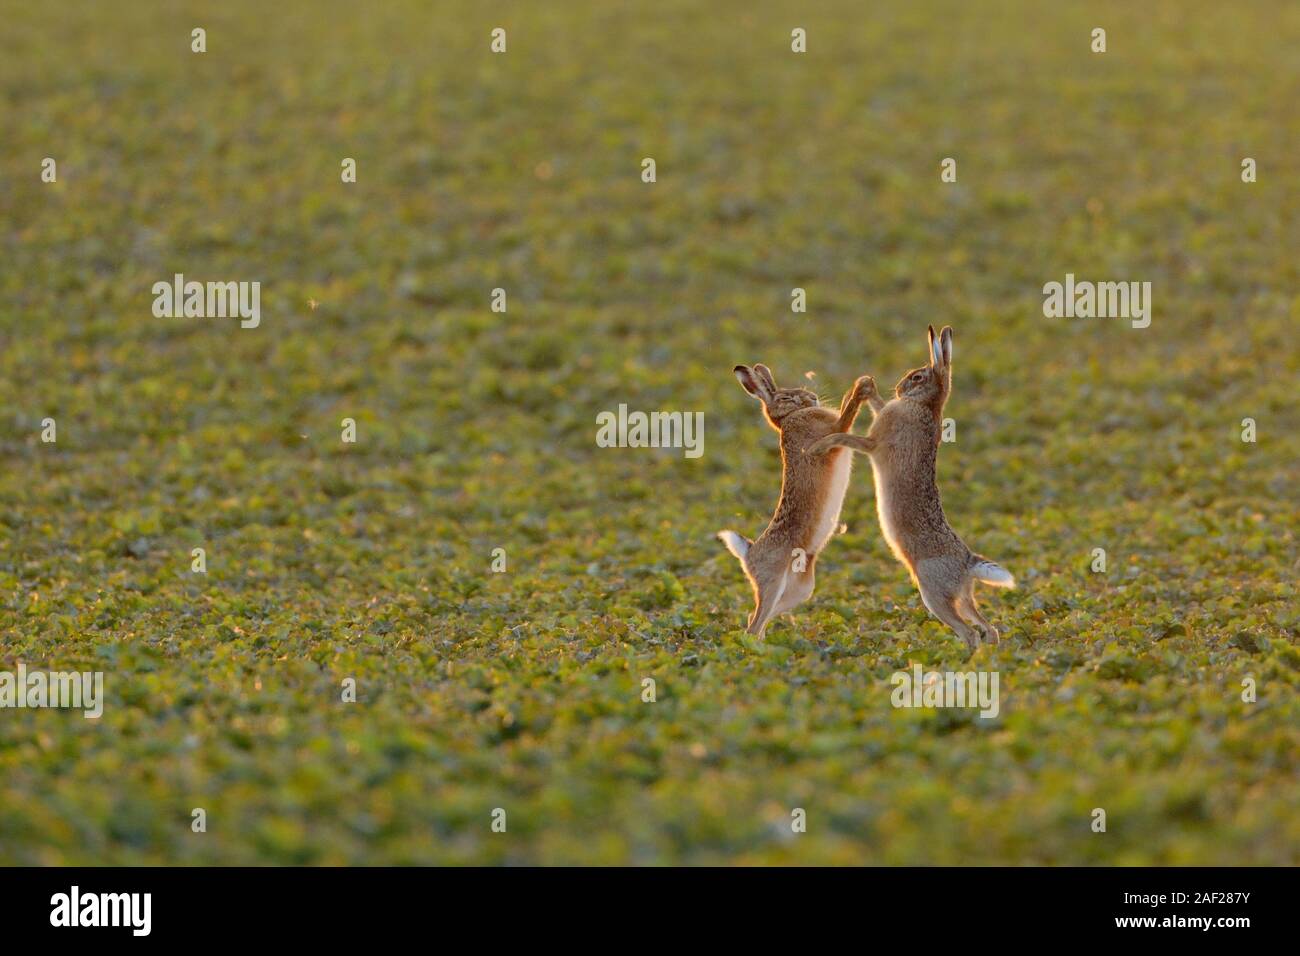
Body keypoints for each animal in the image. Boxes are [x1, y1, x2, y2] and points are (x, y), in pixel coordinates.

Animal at [718, 364, 876, 637]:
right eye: (785, 398)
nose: (812, 398)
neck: (788, 420)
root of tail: (748, 553)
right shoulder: (833, 431)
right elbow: (847, 413)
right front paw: (862, 386)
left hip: (799, 590)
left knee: (755, 618)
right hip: (773, 582)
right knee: (754, 623)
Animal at [806, 326, 1015, 650]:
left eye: (917, 377)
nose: (899, 388)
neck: (924, 405)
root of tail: (967, 563)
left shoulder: (874, 443)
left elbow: (846, 438)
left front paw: (818, 447)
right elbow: (877, 406)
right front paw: (867, 387)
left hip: (933, 593)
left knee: (968, 631)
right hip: (962, 597)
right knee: (987, 628)